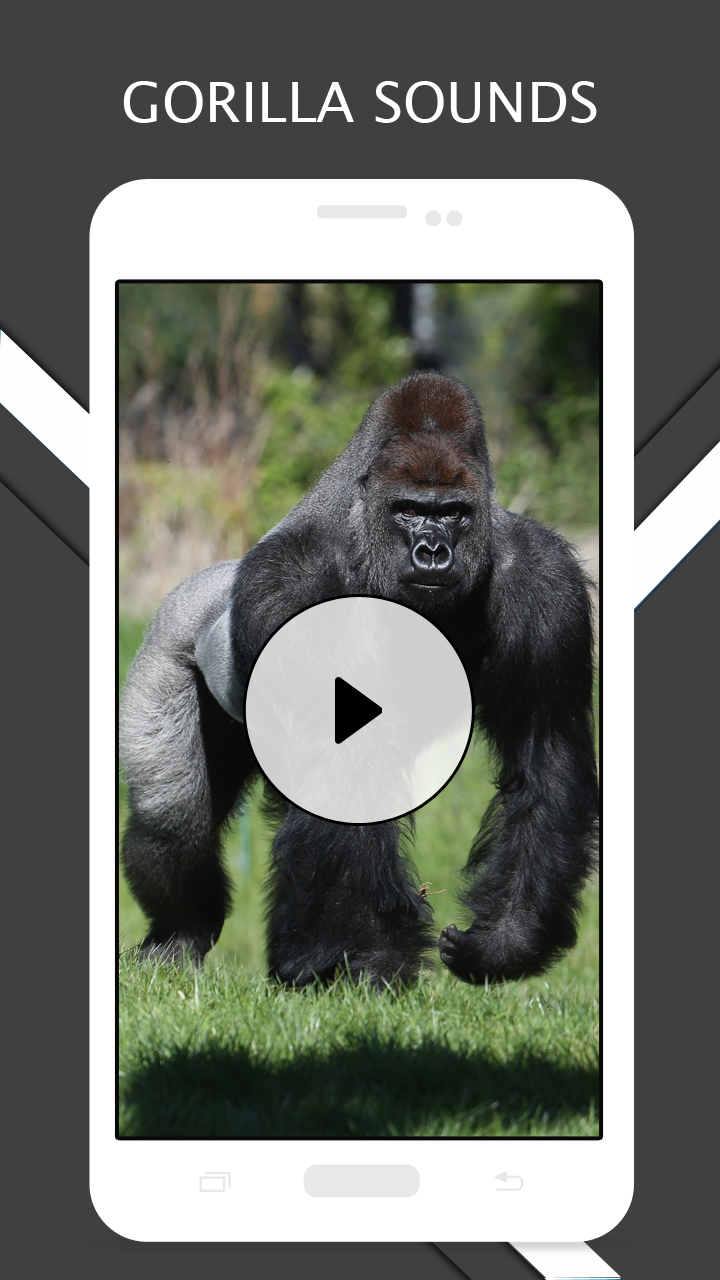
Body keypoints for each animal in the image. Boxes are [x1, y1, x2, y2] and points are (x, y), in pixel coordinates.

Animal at [120, 370, 597, 986]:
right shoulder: (293, 581)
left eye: (454, 513)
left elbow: (545, 754)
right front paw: (363, 959)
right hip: (169, 638)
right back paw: (179, 931)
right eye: (408, 509)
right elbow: (338, 770)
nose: (433, 552)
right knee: (171, 823)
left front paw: (508, 938)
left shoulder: (545, 582)